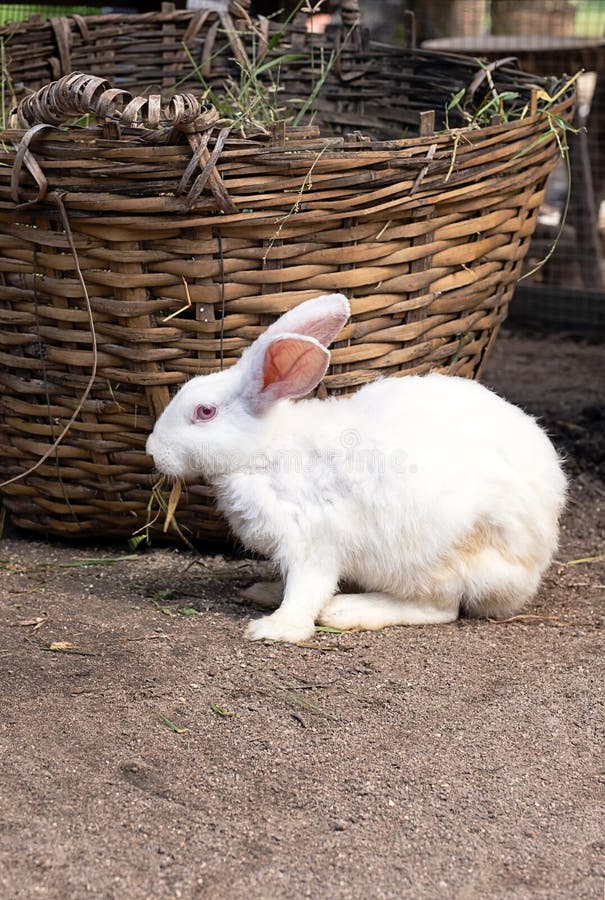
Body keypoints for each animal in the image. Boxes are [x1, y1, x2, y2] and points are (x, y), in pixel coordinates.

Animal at [146, 292, 567, 644]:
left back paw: (346, 610)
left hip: (437, 557)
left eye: (204, 412)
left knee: (441, 608)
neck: (264, 450)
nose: (152, 450)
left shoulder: (310, 541)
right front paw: (267, 594)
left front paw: (276, 629)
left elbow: (306, 588)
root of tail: (534, 565)